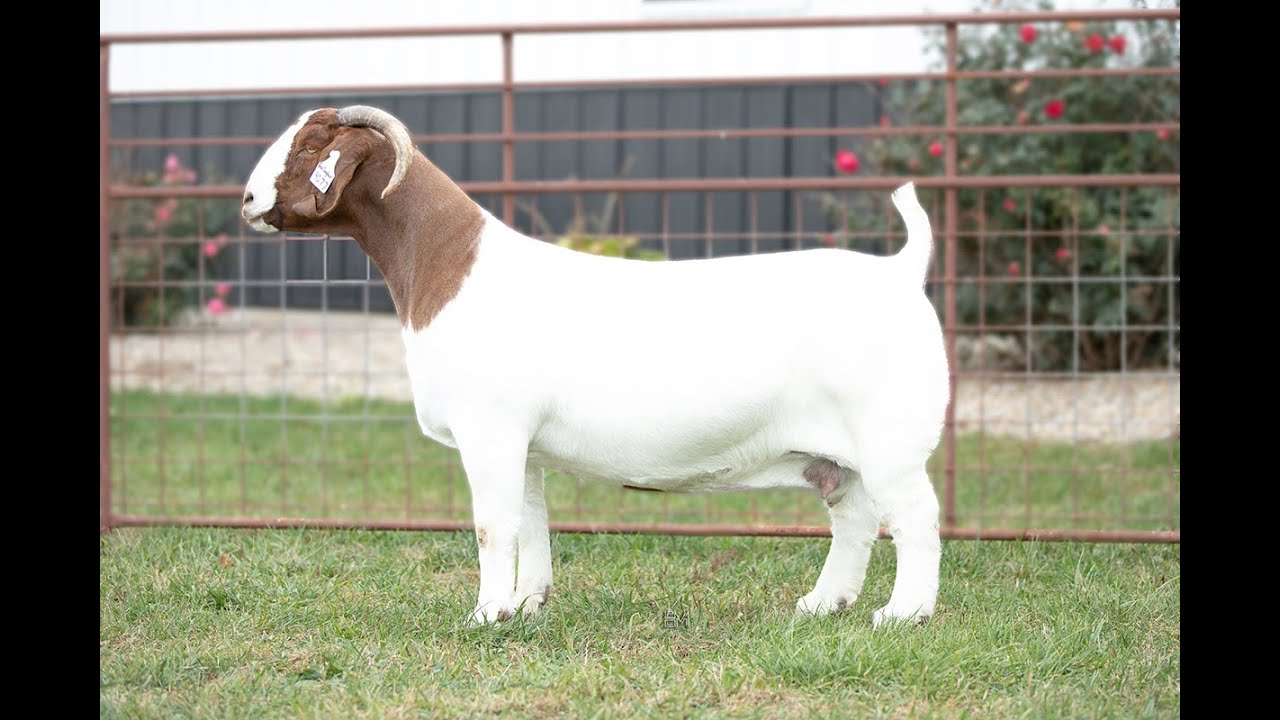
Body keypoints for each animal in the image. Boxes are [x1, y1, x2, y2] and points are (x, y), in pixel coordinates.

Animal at [242, 105, 950, 627]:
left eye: (309, 146)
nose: (247, 198)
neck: (449, 265)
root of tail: (900, 271)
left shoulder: (490, 430)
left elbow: (492, 527)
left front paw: (485, 615)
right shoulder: (524, 445)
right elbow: (531, 524)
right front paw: (526, 605)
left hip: (891, 441)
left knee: (915, 518)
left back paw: (903, 614)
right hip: (838, 452)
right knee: (854, 519)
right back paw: (822, 604)